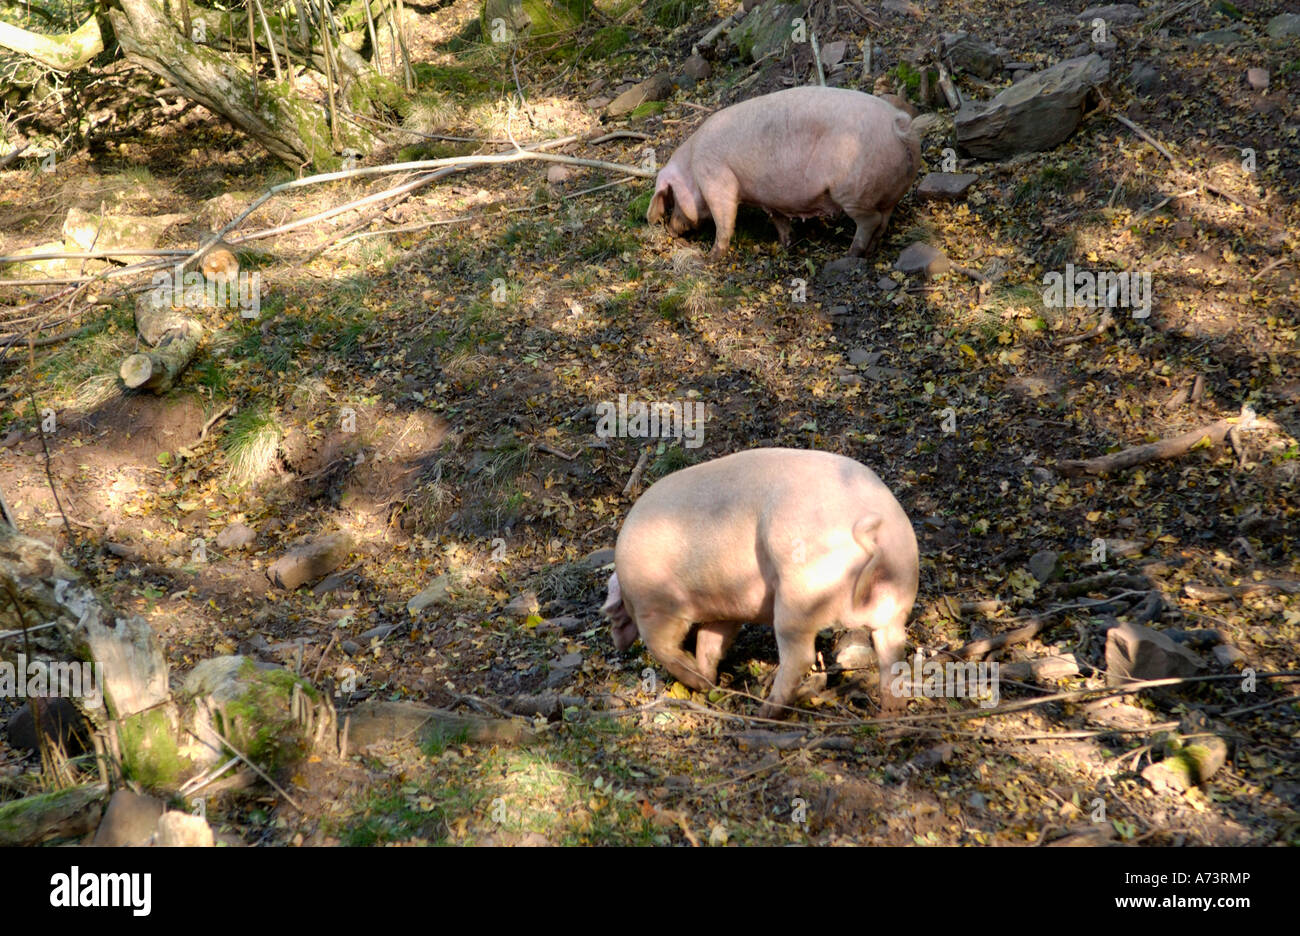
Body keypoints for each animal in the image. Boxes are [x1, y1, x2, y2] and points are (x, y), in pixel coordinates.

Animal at [601, 448, 918, 719]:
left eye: (614, 613)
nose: (615, 643)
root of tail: (868, 523)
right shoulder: (724, 609)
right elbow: (710, 642)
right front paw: (710, 682)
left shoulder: (656, 606)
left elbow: (664, 647)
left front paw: (700, 682)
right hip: (898, 595)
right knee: (892, 652)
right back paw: (890, 711)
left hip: (799, 594)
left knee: (799, 656)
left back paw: (765, 711)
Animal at [646, 86, 921, 258]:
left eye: (673, 197)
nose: (671, 229)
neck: (692, 166)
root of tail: (900, 128)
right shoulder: (769, 198)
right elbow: (778, 219)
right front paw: (786, 244)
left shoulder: (716, 178)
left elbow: (724, 218)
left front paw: (712, 257)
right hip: (887, 190)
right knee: (883, 220)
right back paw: (869, 250)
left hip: (852, 190)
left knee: (869, 220)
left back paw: (850, 253)